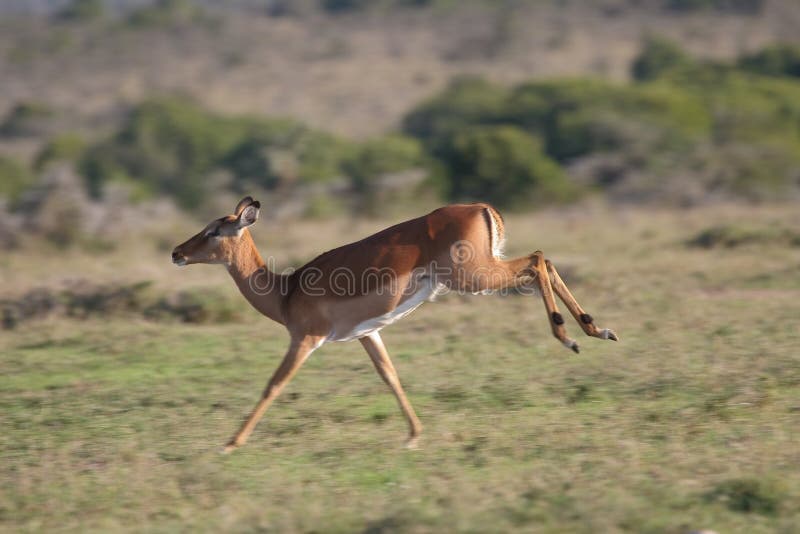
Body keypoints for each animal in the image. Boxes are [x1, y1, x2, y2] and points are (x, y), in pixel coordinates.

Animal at [171, 197, 618, 452]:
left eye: (214, 230)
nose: (177, 252)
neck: (284, 292)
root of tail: (483, 209)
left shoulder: (305, 339)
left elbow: (274, 384)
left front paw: (231, 442)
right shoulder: (369, 334)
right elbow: (391, 376)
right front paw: (414, 435)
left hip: (474, 277)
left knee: (538, 260)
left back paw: (569, 337)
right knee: (545, 259)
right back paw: (597, 330)